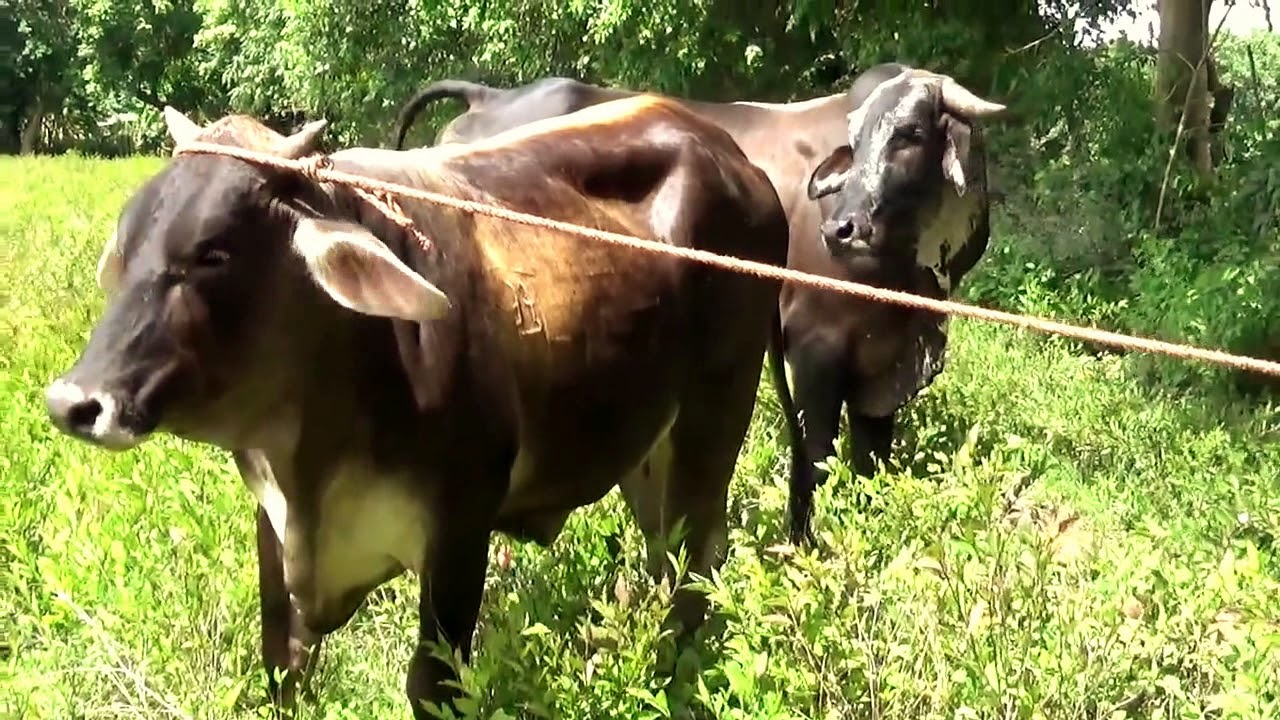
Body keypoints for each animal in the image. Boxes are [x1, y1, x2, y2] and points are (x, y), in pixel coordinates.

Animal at [42, 96, 791, 718]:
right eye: (128, 248)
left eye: (212, 253)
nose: (73, 402)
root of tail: (730, 154)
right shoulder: (272, 521)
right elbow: (283, 665)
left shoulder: (460, 527)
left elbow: (432, 684)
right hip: (646, 446)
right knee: (671, 561)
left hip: (715, 413)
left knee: (694, 569)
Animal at [390, 64, 1008, 545]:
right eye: (854, 142)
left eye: (909, 133)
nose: (843, 228)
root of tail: (487, 98)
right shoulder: (815, 351)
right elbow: (814, 460)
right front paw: (802, 546)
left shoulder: (882, 373)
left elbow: (870, 463)